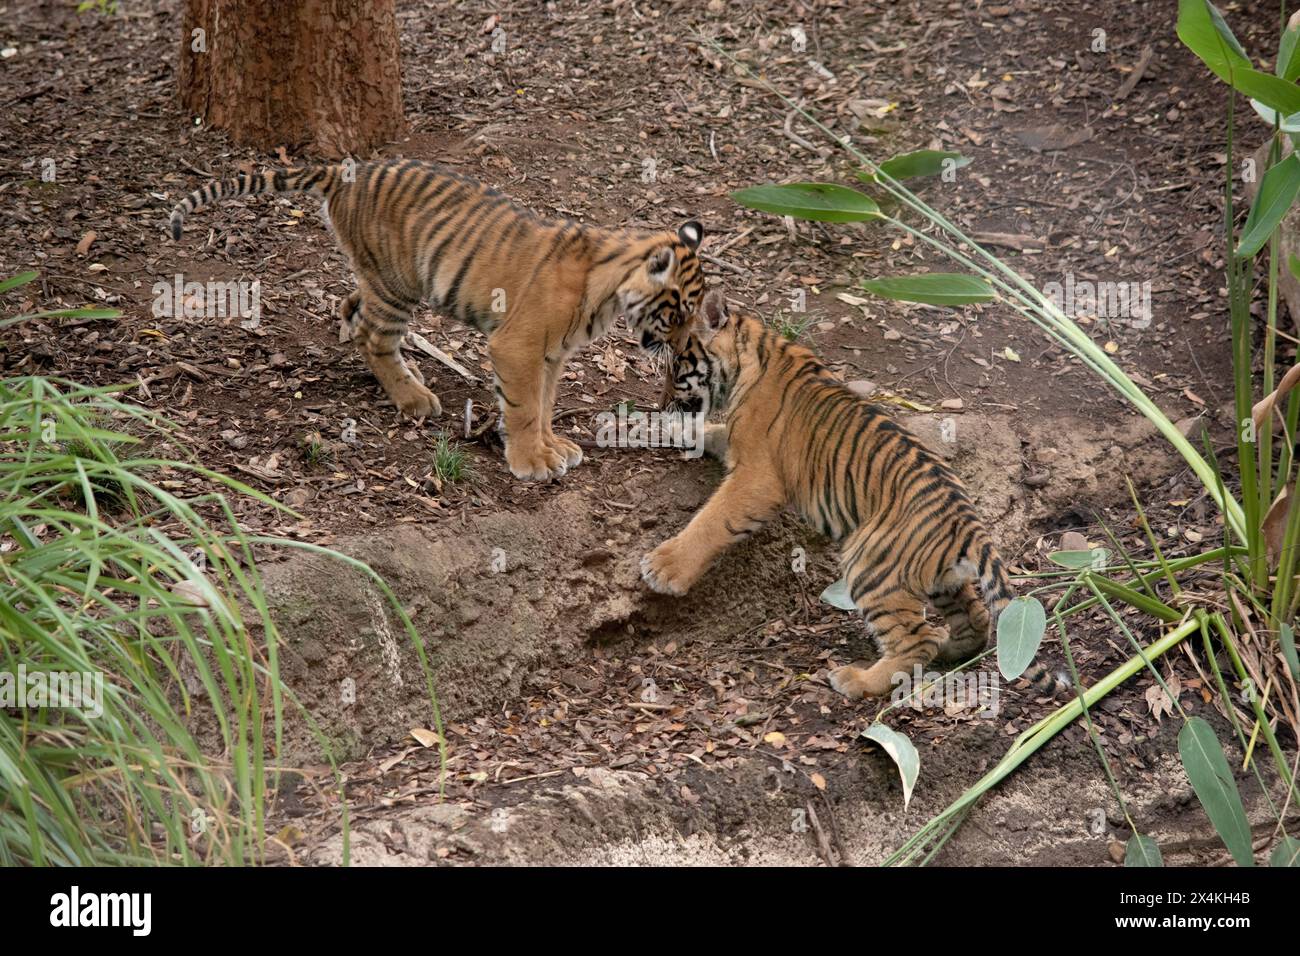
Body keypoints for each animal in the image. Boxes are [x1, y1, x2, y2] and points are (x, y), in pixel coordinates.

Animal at [169, 159, 705, 481]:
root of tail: (345, 171)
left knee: (352, 308)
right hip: (396, 282)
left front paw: (554, 446)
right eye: (677, 313)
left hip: (379, 279)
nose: (681, 349)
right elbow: (525, 406)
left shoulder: (552, 355)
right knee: (373, 336)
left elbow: (545, 404)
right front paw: (531, 461)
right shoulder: (520, 345)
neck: (608, 292)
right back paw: (413, 397)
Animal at [641, 290, 1063, 701]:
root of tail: (968, 523)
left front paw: (663, 568)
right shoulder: (734, 443)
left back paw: (857, 680)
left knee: (916, 640)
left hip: (871, 565)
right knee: (974, 617)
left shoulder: (756, 477)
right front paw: (660, 427)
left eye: (677, 366)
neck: (754, 354)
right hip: (941, 580)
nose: (661, 404)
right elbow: (707, 433)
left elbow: (712, 519)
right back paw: (949, 649)